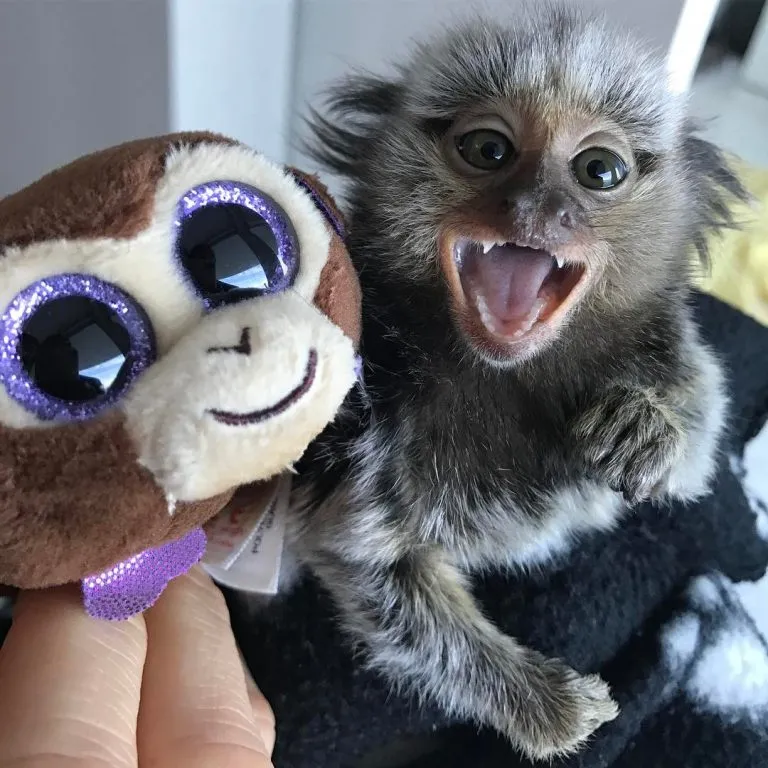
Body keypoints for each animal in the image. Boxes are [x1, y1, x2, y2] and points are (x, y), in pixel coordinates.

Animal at [276, 3, 748, 761]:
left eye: (600, 170)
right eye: (489, 150)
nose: (535, 208)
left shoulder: (665, 347)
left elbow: (699, 432)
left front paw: (646, 430)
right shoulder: (364, 437)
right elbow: (369, 568)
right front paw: (548, 706)